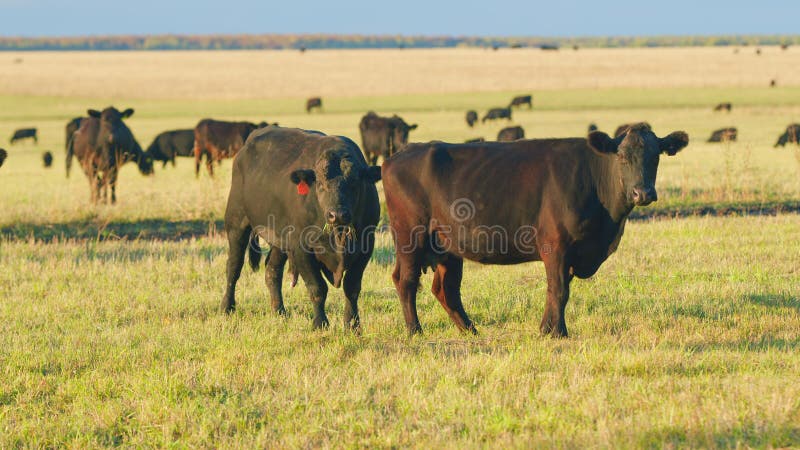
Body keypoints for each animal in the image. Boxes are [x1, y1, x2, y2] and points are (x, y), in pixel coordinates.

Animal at [221, 126, 382, 331]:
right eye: (320, 183)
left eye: (354, 182)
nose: (337, 214)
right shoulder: (301, 247)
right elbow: (317, 288)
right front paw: (320, 323)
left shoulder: (366, 245)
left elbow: (352, 287)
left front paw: (352, 324)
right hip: (236, 223)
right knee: (234, 266)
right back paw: (227, 307)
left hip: (279, 239)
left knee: (272, 271)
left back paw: (279, 311)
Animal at [382, 123, 688, 337]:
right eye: (622, 157)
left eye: (656, 157)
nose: (643, 193)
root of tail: (398, 155)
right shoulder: (556, 245)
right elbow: (559, 290)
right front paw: (557, 332)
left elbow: (559, 292)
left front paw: (547, 329)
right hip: (410, 236)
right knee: (406, 281)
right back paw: (415, 330)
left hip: (447, 247)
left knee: (446, 289)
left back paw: (470, 330)